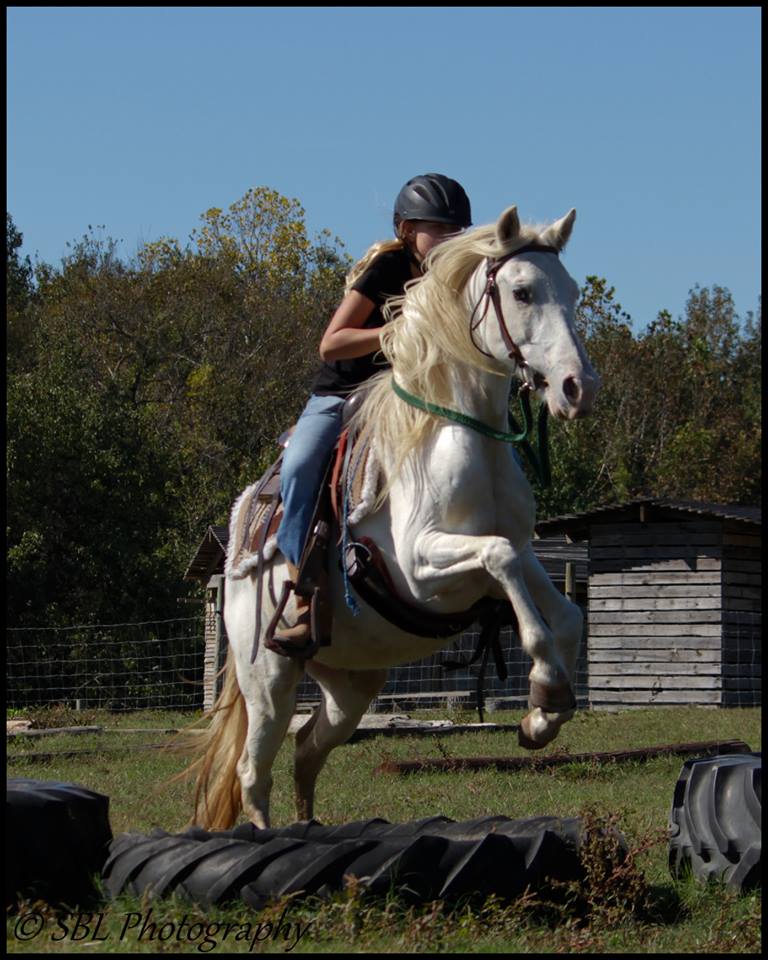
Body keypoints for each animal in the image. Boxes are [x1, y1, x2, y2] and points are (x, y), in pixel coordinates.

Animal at [186, 205, 600, 830]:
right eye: (522, 291)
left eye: (572, 292)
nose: (578, 388)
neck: (461, 432)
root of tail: (236, 556)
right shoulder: (424, 569)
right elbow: (498, 558)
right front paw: (547, 693)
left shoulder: (523, 555)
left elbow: (564, 612)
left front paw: (540, 718)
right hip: (270, 682)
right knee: (253, 773)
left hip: (350, 685)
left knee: (307, 748)